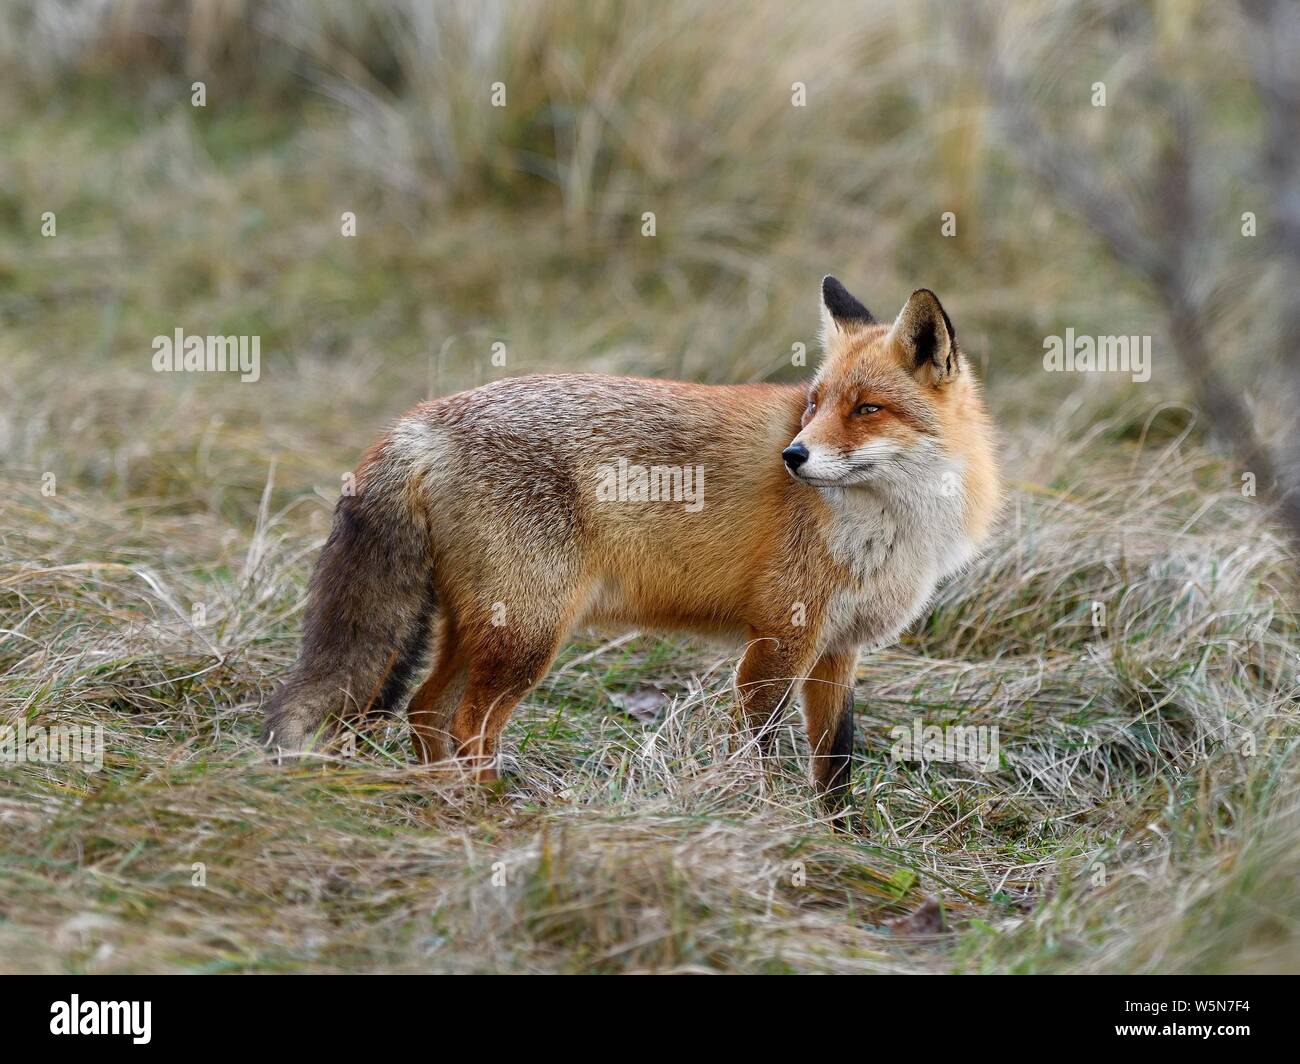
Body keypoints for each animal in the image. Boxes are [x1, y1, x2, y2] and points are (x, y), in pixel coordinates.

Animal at [263, 276, 1001, 820]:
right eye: (815, 403)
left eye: (867, 409)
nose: (793, 456)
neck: (890, 526)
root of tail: (420, 420)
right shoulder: (779, 639)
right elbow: (763, 750)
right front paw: (765, 822)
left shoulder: (839, 649)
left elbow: (836, 764)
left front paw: (839, 839)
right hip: (530, 632)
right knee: (470, 723)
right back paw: (491, 808)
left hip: (482, 628)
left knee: (426, 710)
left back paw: (442, 801)